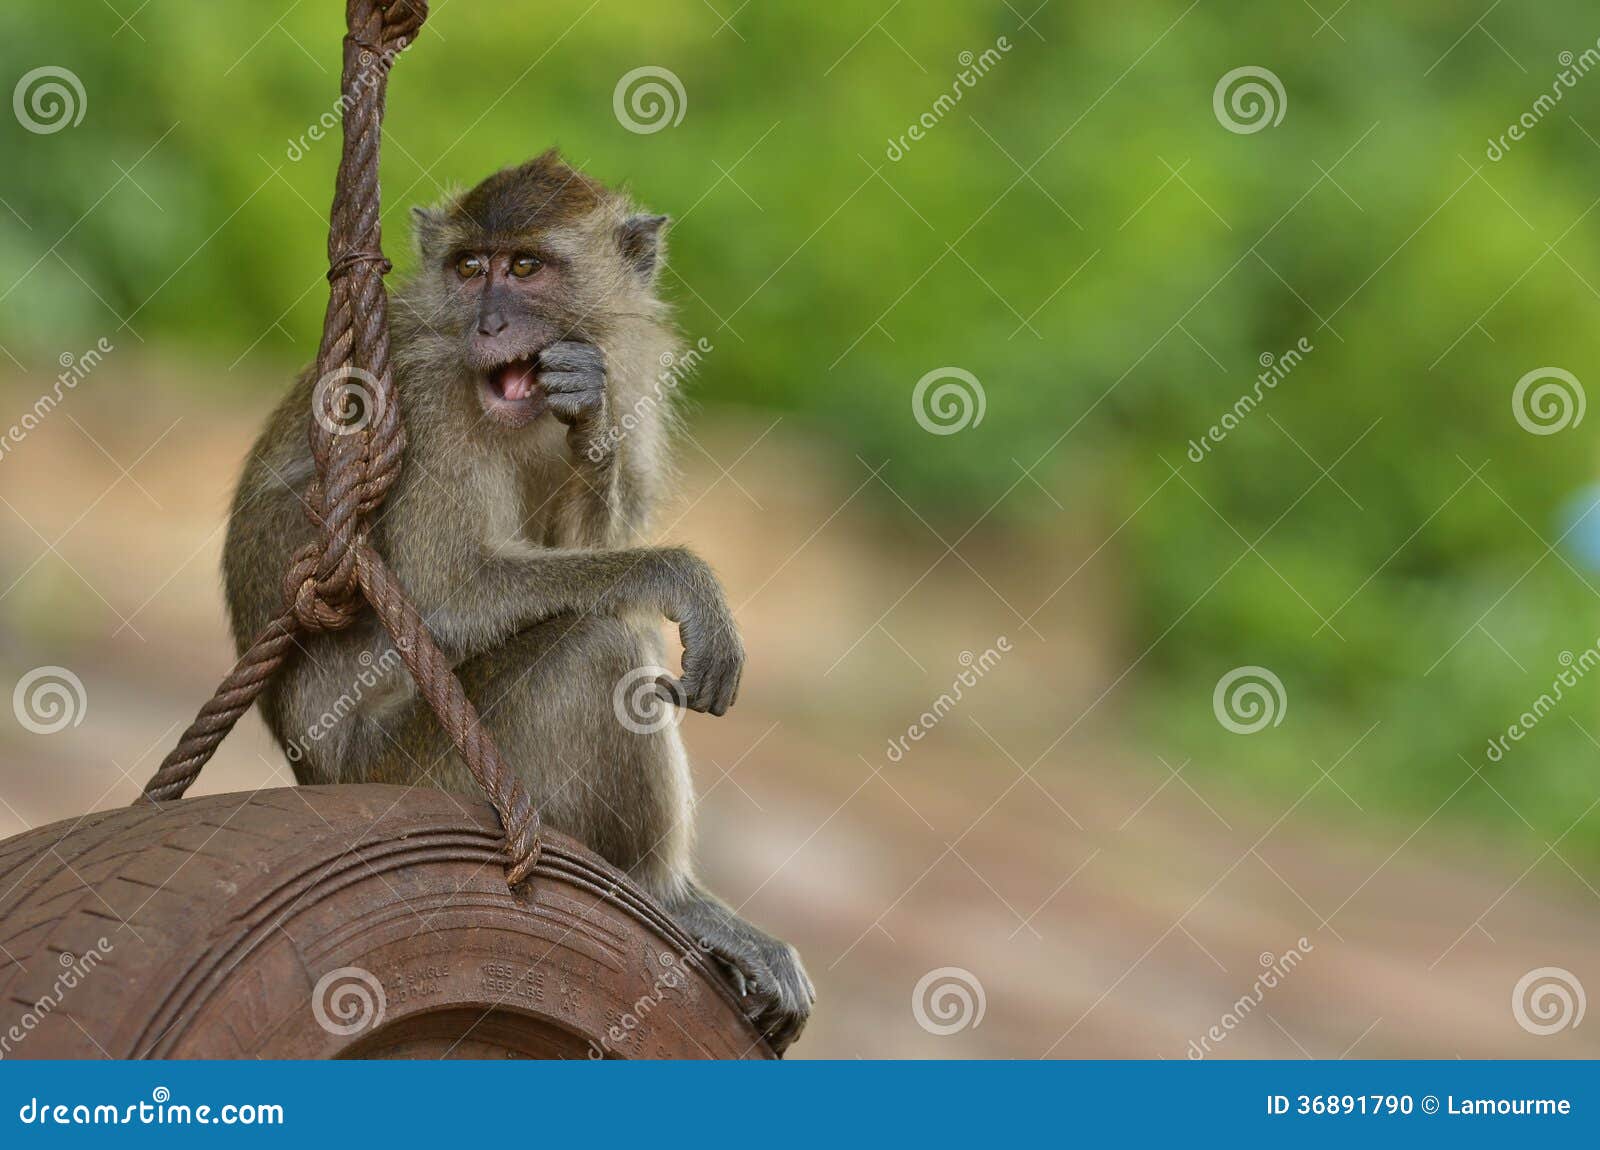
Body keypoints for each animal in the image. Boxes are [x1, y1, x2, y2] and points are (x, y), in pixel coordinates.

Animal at [222, 150, 813, 1052]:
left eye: (526, 268)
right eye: (471, 269)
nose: (490, 326)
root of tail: (310, 771)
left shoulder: (622, 371)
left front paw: (590, 420)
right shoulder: (420, 395)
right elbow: (452, 588)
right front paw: (684, 578)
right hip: (416, 770)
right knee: (597, 644)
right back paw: (669, 895)